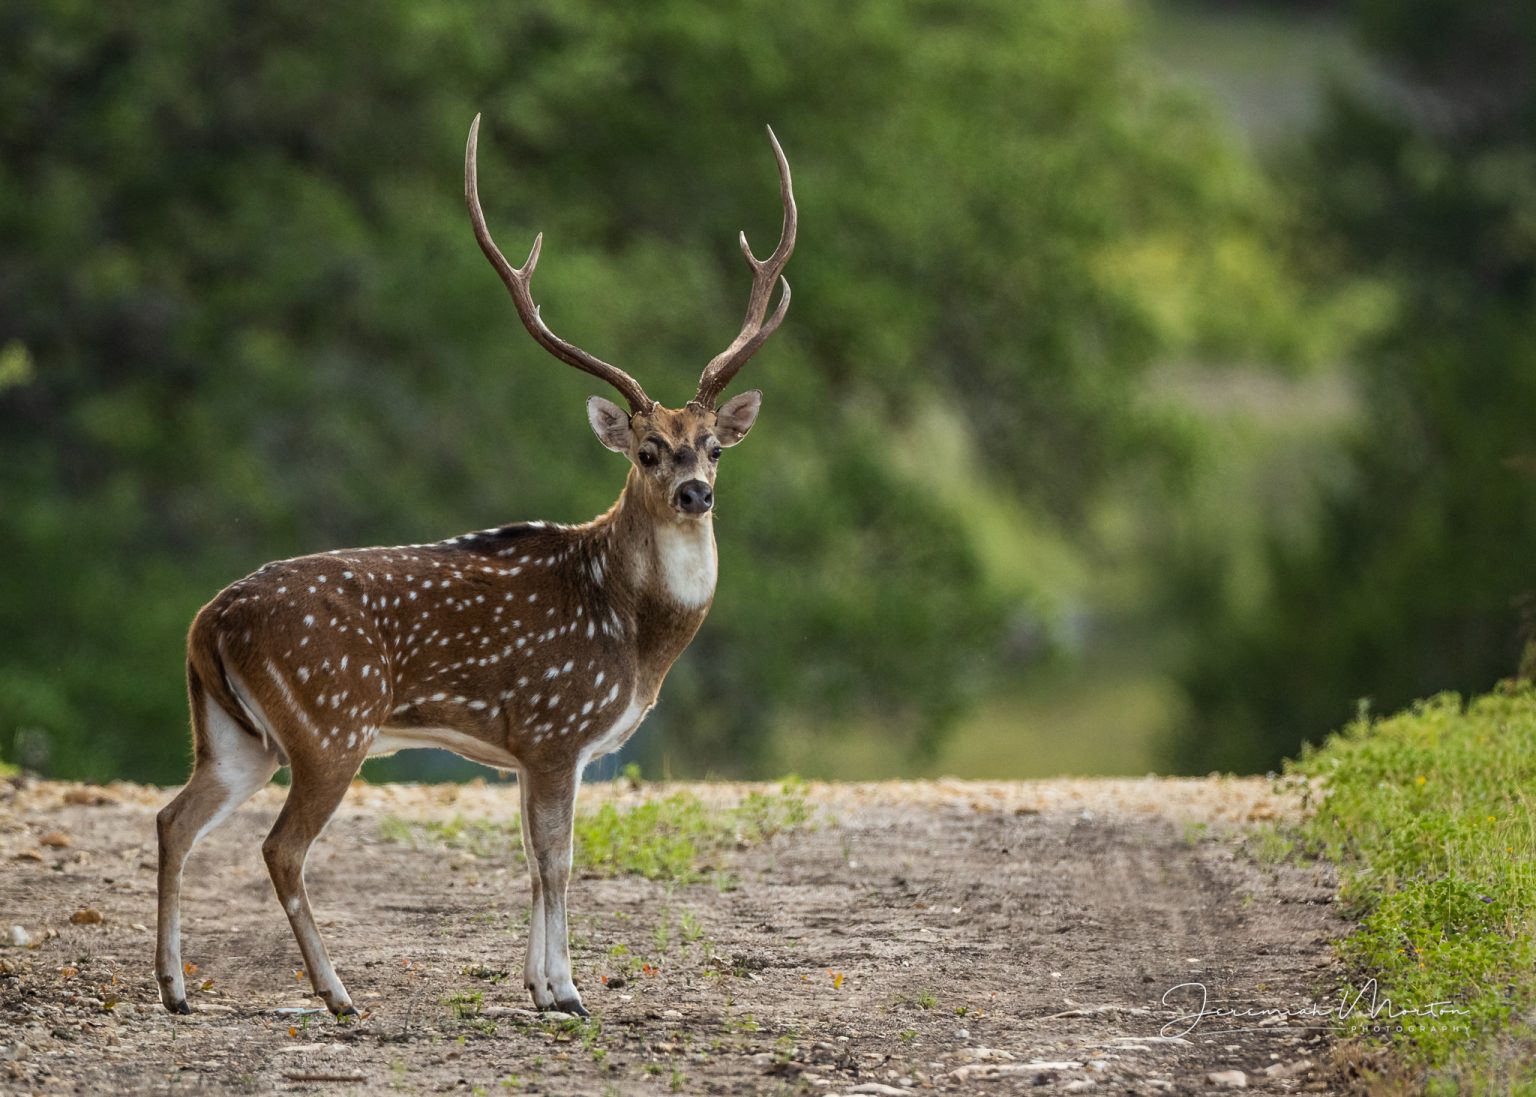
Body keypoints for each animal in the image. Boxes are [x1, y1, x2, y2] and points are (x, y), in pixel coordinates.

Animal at [155, 114, 795, 1020]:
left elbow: (530, 862)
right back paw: (337, 993)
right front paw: (565, 991)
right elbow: (558, 860)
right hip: (332, 723)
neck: (636, 639)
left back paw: (177, 989)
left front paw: (536, 985)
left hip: (234, 734)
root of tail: (207, 621)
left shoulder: (532, 749)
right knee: (280, 847)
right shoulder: (557, 726)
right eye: (646, 449)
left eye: (712, 445)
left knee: (173, 818)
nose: (695, 492)